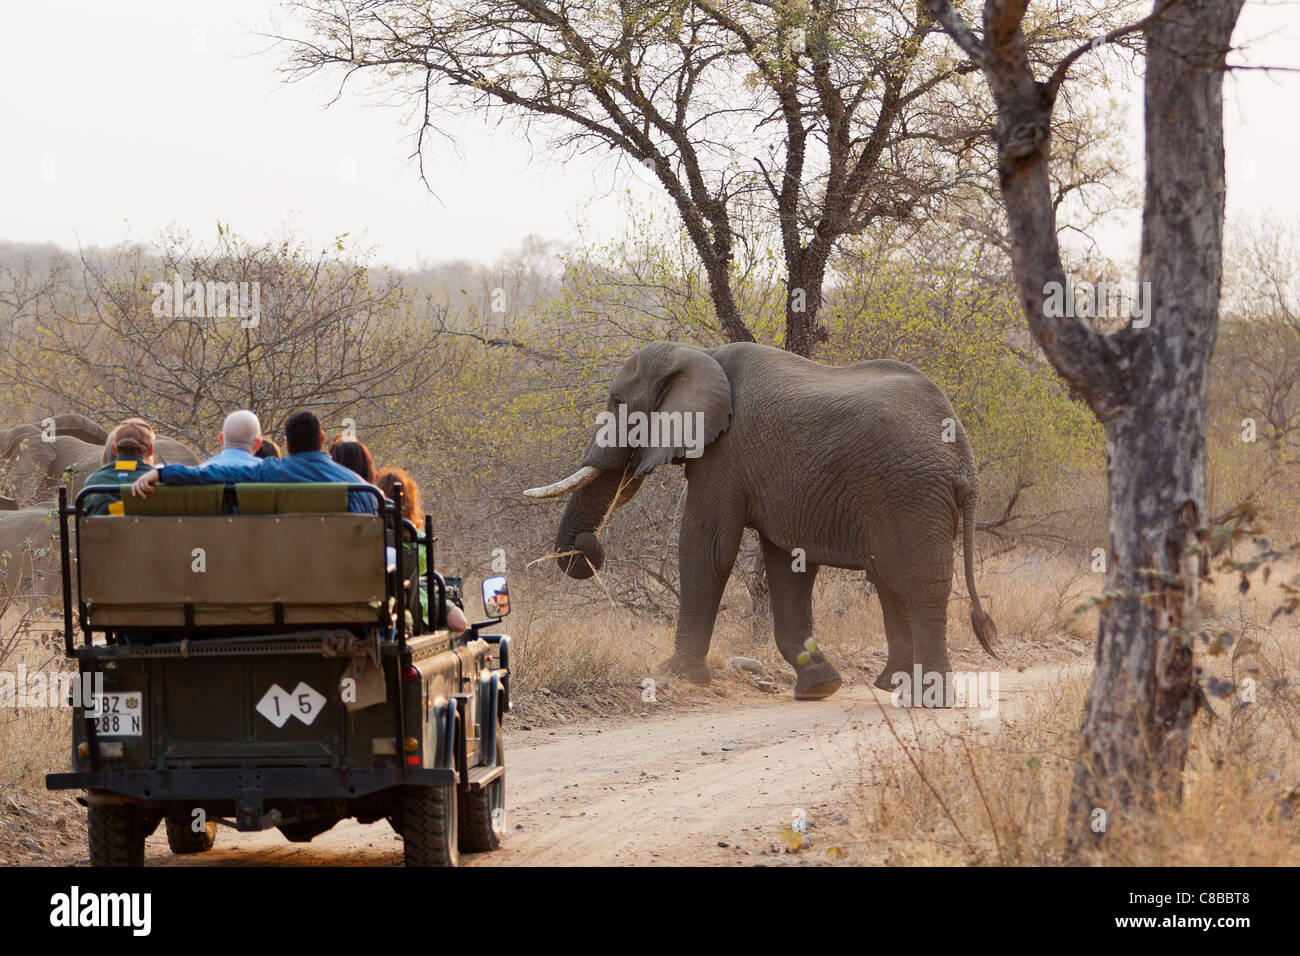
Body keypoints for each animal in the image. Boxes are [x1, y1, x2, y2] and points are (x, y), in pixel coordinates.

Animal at [524, 341, 997, 701]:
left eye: (619, 403)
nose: (588, 543)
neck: (699, 355)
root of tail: (964, 455)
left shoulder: (725, 454)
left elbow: (706, 547)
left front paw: (674, 673)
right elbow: (788, 564)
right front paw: (819, 688)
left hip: (910, 493)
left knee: (919, 584)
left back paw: (926, 701)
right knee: (890, 580)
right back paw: (892, 686)